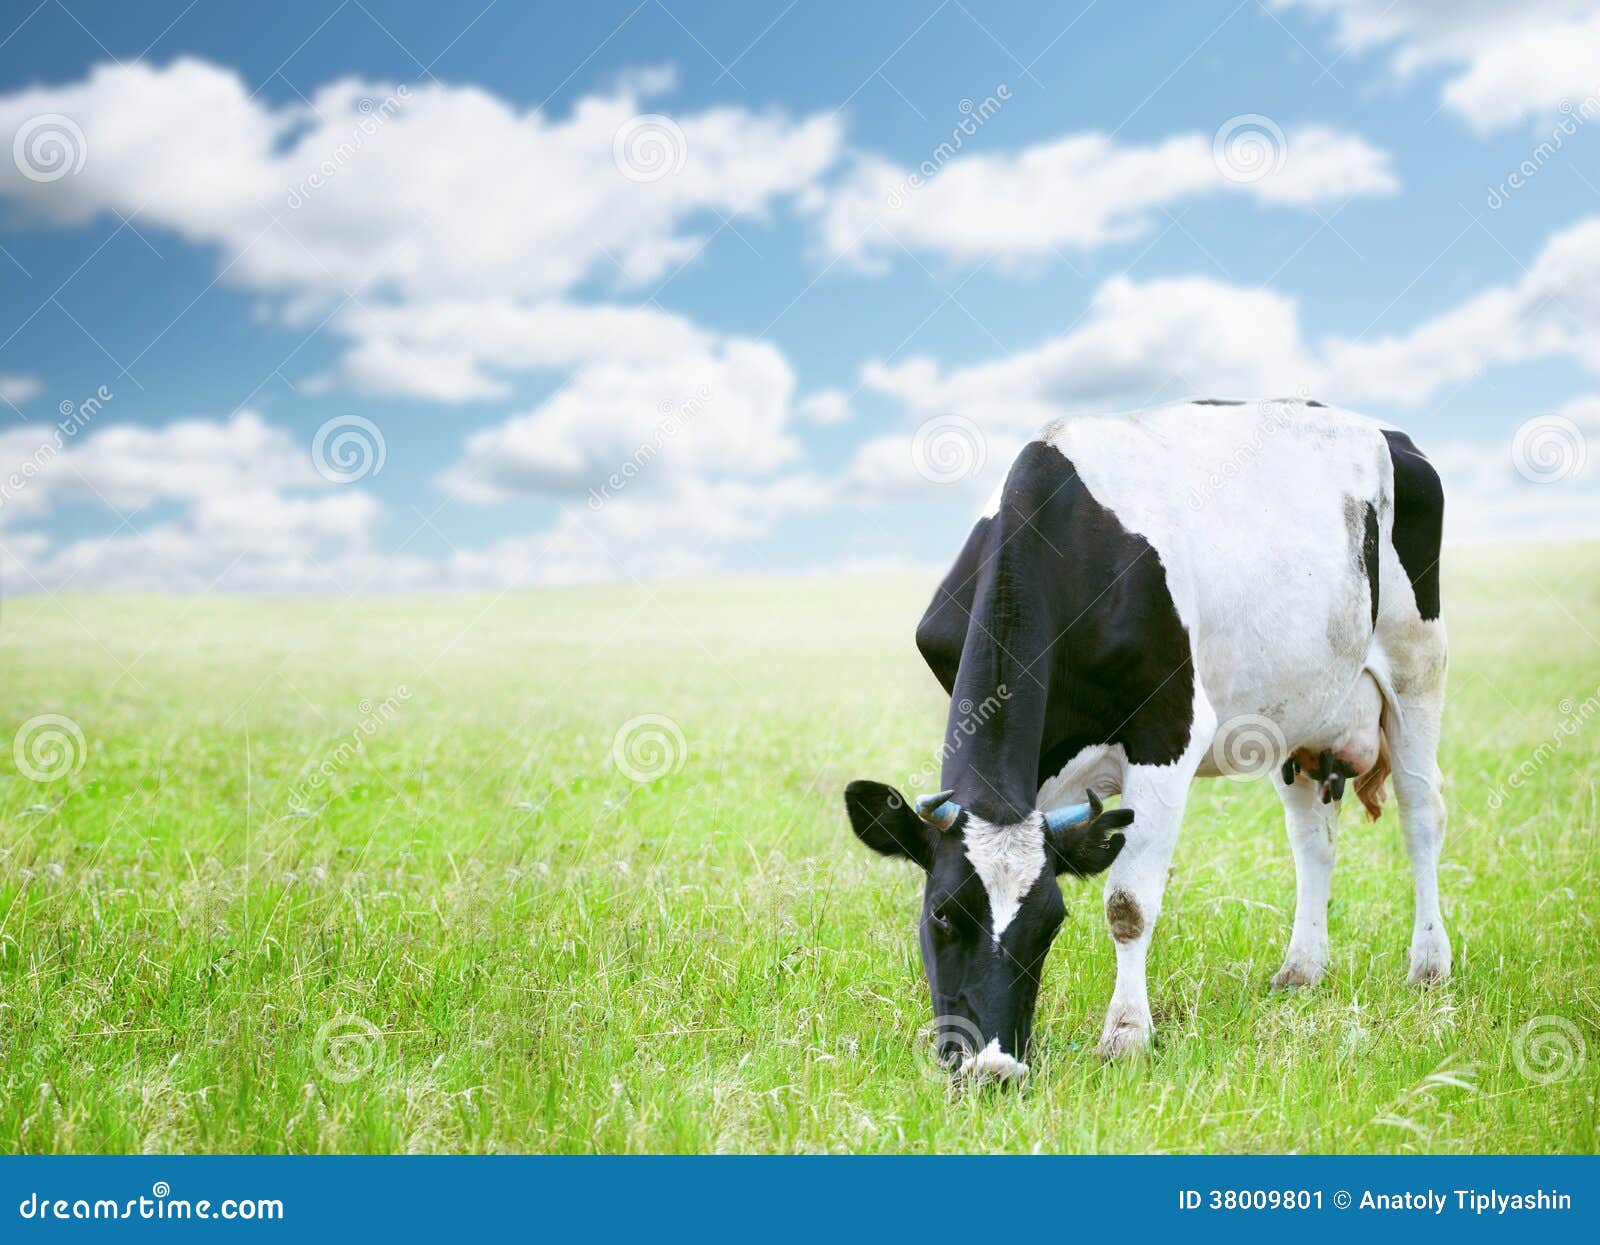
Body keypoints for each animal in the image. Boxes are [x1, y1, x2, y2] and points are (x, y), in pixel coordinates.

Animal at [845, 398, 1449, 1077]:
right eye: (942, 915)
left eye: (1049, 925)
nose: (994, 1068)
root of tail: (1390, 435)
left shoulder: (1168, 729)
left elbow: (1129, 903)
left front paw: (1127, 1033)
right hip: (1297, 714)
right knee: (1312, 840)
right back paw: (1302, 969)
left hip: (1418, 665)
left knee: (1421, 814)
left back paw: (1429, 965)